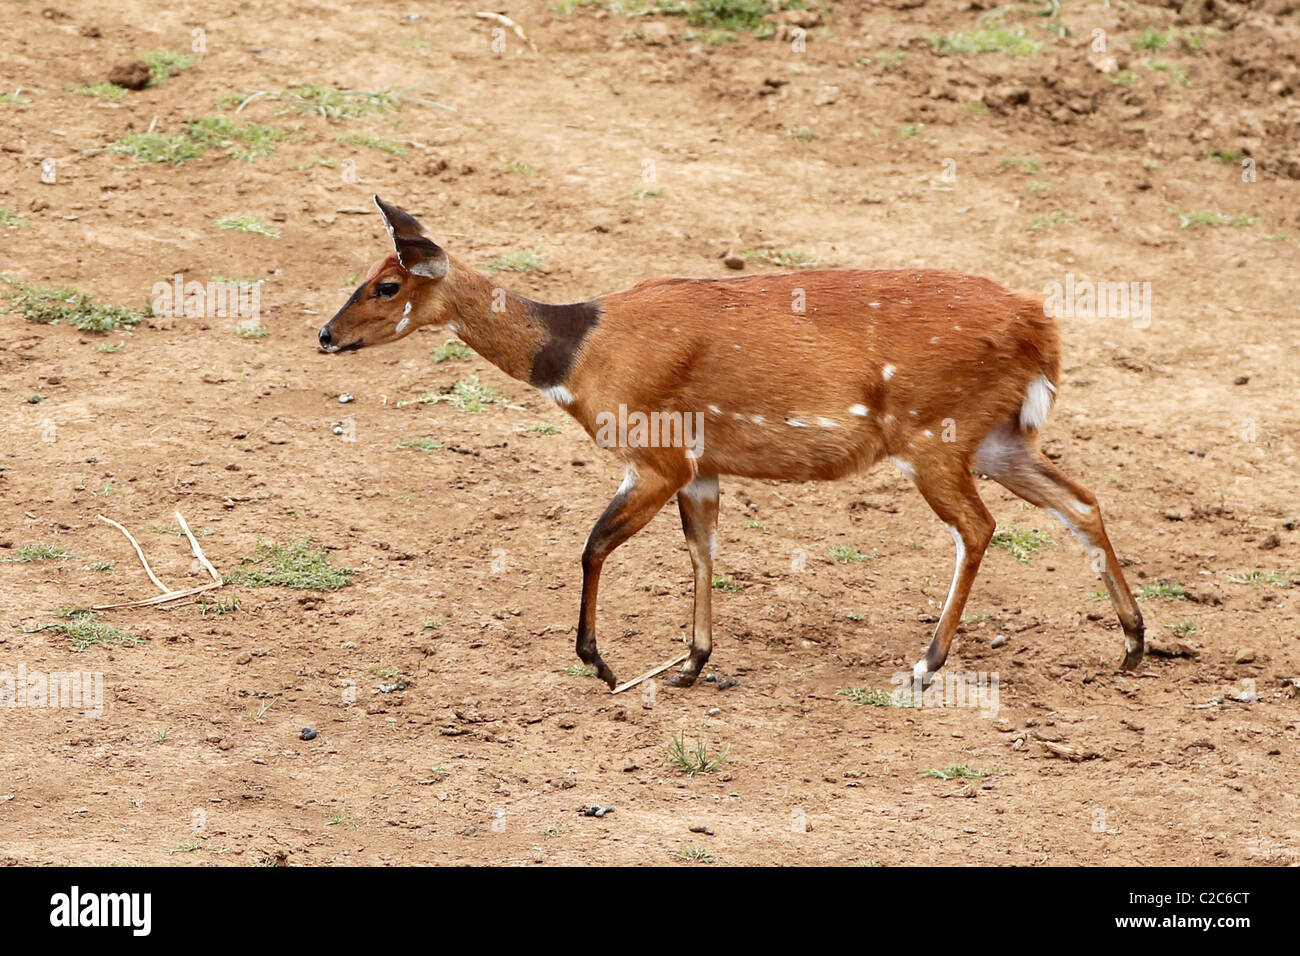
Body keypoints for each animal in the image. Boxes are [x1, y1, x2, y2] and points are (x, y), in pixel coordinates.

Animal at [319, 196, 1145, 691]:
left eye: (388, 286)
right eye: (363, 273)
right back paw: (1134, 643)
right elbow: (702, 551)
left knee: (979, 526)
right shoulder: (702, 470)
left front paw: (604, 664)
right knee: (1082, 501)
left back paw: (924, 663)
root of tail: (1039, 323)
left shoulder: (656, 458)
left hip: (935, 440)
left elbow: (593, 544)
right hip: (997, 439)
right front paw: (689, 664)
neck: (579, 346)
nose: (325, 334)